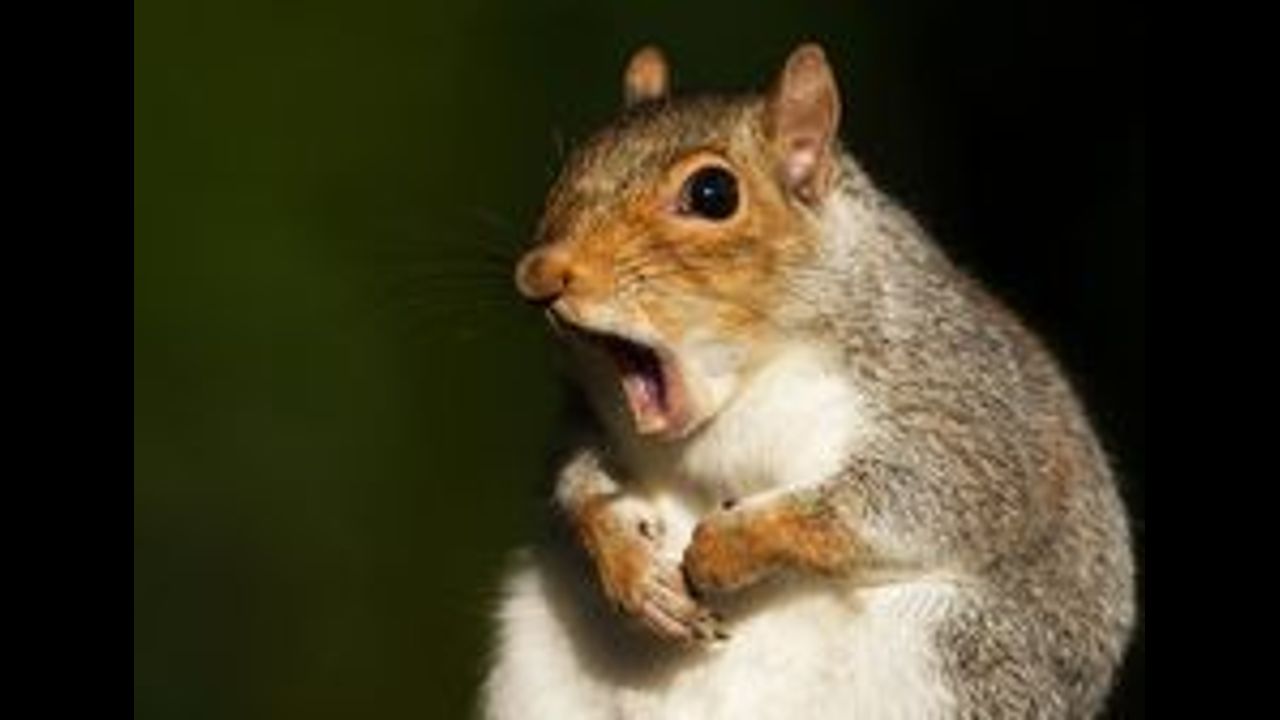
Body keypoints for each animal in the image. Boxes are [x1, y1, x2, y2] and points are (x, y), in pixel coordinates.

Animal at [481, 43, 1135, 719]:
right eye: (575, 160)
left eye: (713, 192)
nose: (538, 273)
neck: (741, 391)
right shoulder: (588, 415)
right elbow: (578, 480)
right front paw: (629, 562)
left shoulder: (957, 409)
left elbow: (909, 503)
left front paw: (728, 545)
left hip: (959, 658)